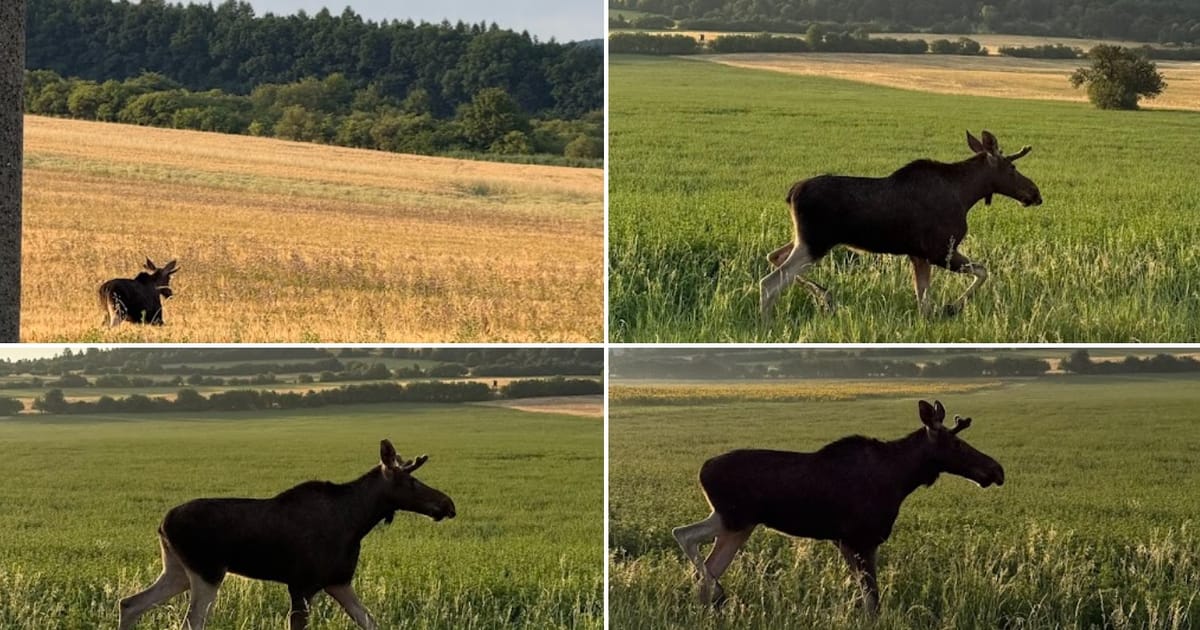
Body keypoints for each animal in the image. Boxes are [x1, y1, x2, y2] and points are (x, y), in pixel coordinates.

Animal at [118, 439, 457, 630]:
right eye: (411, 481)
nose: (448, 504)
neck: (358, 521)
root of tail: (162, 524)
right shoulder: (301, 585)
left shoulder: (338, 581)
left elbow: (372, 622)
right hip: (207, 572)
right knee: (190, 622)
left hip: (178, 571)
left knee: (130, 603)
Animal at [673, 400, 1004, 615]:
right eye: (957, 444)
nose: (997, 470)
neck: (902, 479)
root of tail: (702, 471)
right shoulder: (859, 538)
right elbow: (872, 600)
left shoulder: (847, 541)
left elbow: (866, 596)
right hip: (735, 517)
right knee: (685, 536)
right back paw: (715, 594)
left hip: (737, 523)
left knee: (702, 557)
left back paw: (709, 604)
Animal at [760, 130, 1042, 322]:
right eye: (1012, 167)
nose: (1035, 193)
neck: (966, 195)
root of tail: (791, 194)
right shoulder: (939, 250)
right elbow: (982, 271)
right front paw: (952, 307)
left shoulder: (918, 255)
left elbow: (923, 299)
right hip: (815, 242)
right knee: (770, 281)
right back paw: (768, 322)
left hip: (805, 240)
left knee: (774, 256)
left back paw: (824, 296)